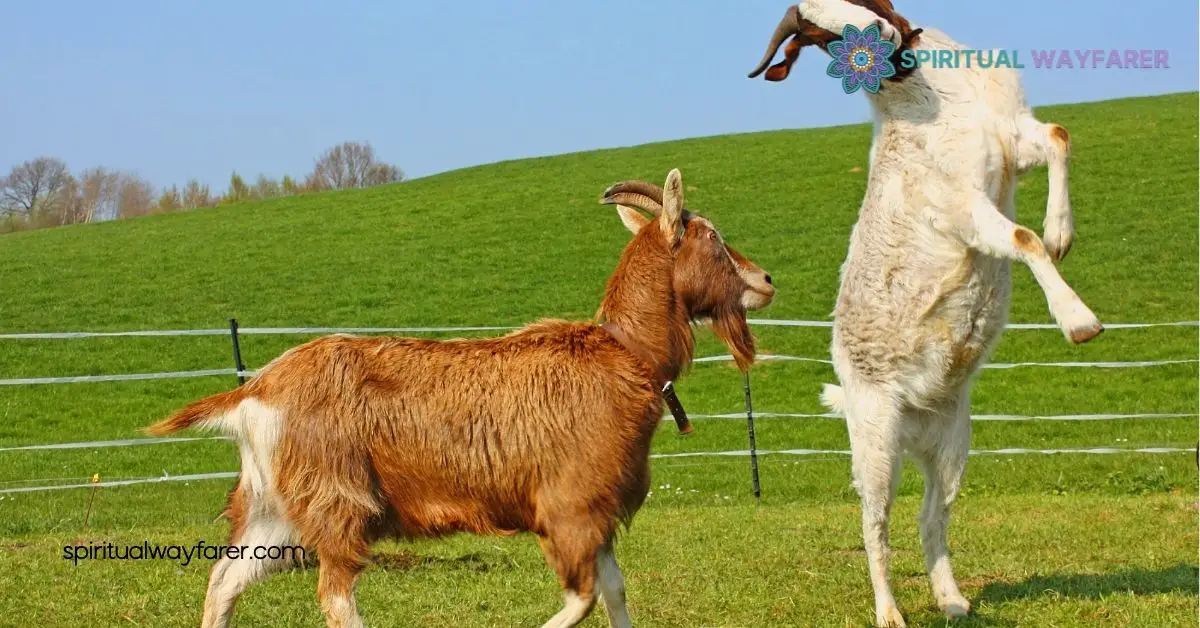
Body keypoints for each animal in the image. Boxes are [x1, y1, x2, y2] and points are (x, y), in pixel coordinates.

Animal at [147, 168, 776, 628]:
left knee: (224, 581)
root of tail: (257, 389)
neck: (624, 353)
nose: (766, 280)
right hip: (337, 499)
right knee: (335, 595)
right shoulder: (568, 505)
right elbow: (583, 599)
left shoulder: (597, 509)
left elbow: (615, 592)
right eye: (712, 238)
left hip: (273, 509)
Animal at [747, 2, 1102, 626]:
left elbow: (1059, 137)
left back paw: (952, 599)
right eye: (814, 37)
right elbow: (1021, 237)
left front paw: (1063, 232)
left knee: (931, 515)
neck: (926, 93)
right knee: (875, 524)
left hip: (953, 440)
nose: (879, 37)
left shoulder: (1012, 137)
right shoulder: (958, 206)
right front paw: (1077, 320)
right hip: (874, 441)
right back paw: (889, 611)